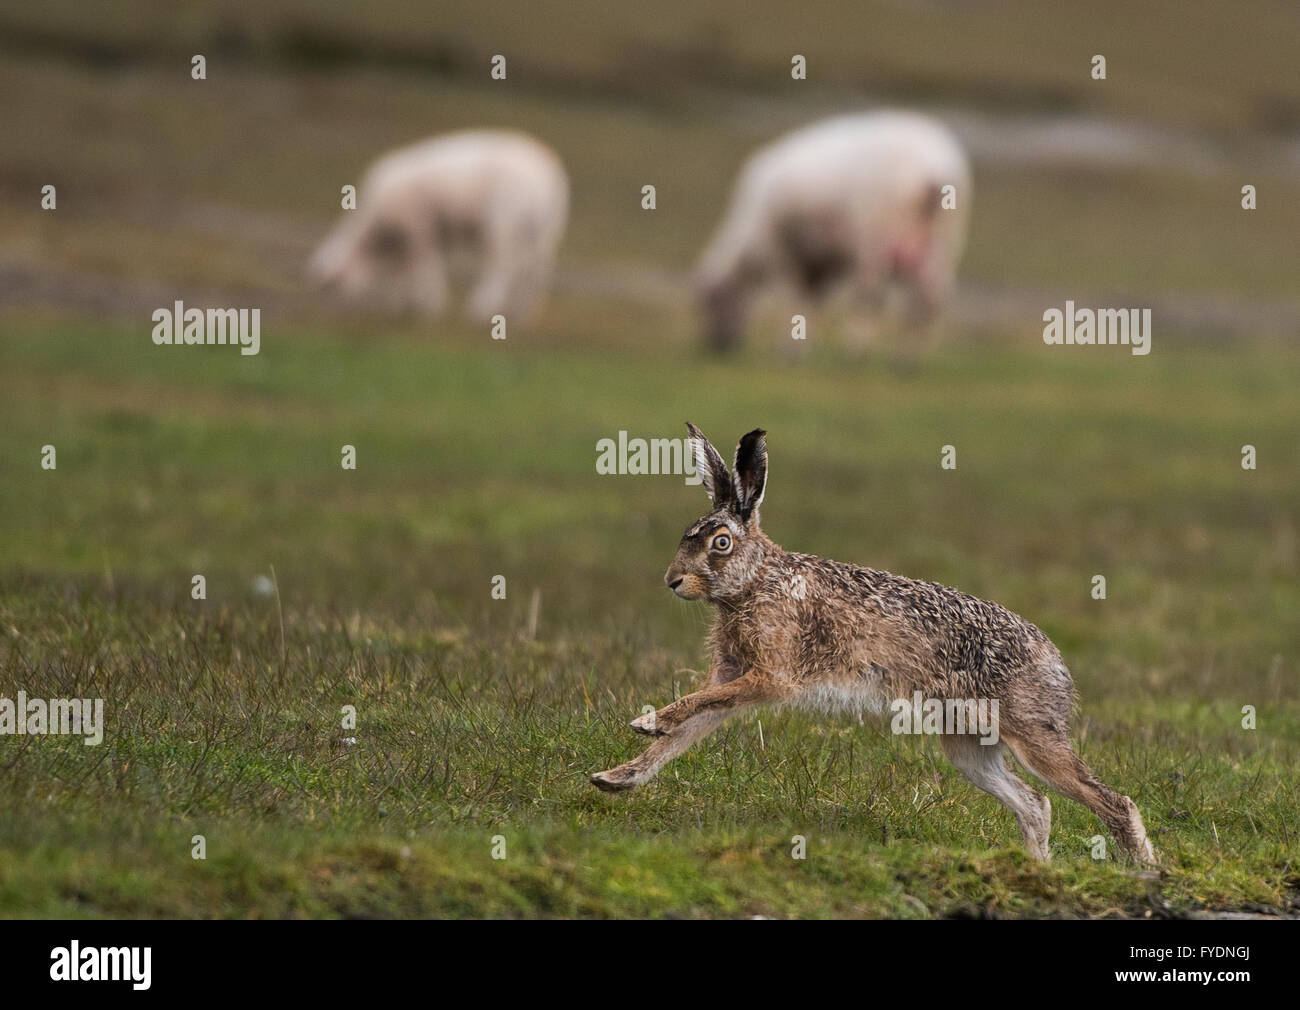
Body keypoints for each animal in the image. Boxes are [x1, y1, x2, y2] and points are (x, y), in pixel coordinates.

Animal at [309, 130, 569, 326]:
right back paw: (522, 313)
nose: (332, 313)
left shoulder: (419, 227)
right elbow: (404, 271)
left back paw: (481, 307)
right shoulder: (412, 236)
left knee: (504, 266)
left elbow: (424, 267)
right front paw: (399, 303)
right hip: (544, 233)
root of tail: (549, 172)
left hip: (503, 220)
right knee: (533, 270)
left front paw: (429, 305)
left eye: (331, 285)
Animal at [590, 424, 1156, 864]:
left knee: (1111, 801)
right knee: (1035, 804)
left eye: (720, 543)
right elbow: (689, 727)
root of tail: (1053, 659)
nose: (672, 581)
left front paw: (646, 722)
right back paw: (1041, 868)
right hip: (967, 746)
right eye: (687, 535)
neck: (755, 583)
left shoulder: (771, 676)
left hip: (1031, 733)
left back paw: (1144, 870)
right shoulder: (733, 676)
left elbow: (693, 706)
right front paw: (616, 778)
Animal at [695, 111, 972, 352]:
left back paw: (856, 349)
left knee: (870, 296)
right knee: (930, 299)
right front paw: (802, 346)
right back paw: (906, 357)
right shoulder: (818, 263)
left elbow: (793, 300)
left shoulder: (783, 254)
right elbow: (813, 303)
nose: (718, 348)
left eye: (711, 303)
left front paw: (790, 348)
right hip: (943, 242)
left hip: (874, 238)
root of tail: (932, 165)